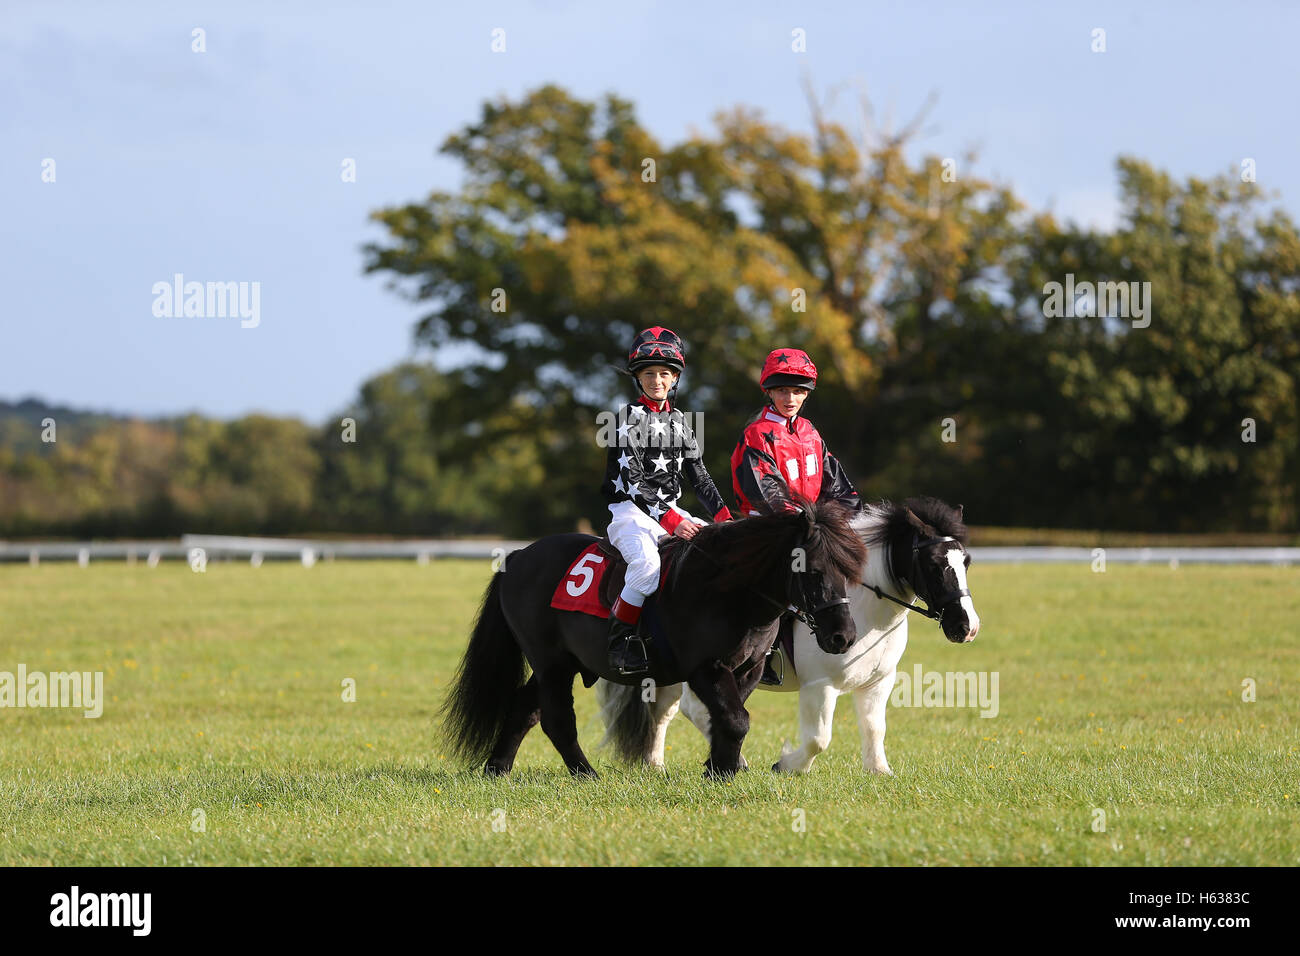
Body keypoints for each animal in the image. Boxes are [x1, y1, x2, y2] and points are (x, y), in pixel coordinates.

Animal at [440, 497, 867, 779]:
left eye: (849, 569)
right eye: (813, 570)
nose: (843, 636)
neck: (728, 590)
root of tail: (517, 559)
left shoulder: (747, 669)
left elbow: (728, 719)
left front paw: (718, 768)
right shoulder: (706, 669)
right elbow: (736, 719)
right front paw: (725, 771)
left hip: (557, 665)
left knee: (523, 710)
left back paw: (498, 769)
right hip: (552, 665)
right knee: (557, 720)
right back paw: (586, 774)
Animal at [600, 497, 980, 775]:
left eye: (966, 562)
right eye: (934, 565)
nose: (968, 627)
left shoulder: (878, 682)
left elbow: (875, 728)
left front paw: (879, 771)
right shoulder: (819, 686)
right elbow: (819, 738)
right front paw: (787, 765)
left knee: (665, 711)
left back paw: (660, 764)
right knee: (687, 711)